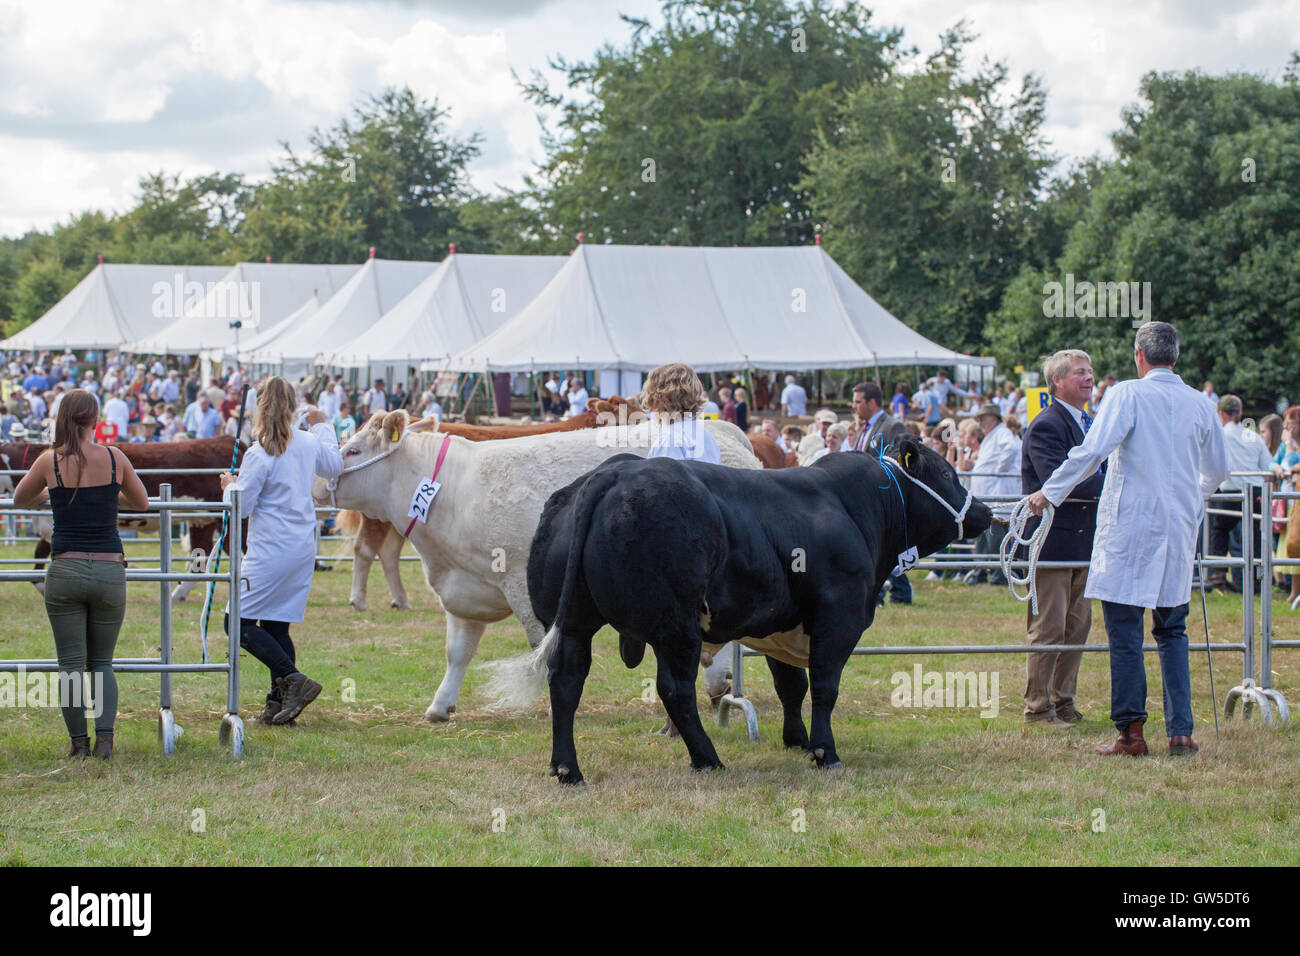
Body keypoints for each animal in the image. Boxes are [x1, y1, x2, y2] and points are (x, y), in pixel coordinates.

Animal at [315, 409, 760, 721]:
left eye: (352, 450)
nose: (318, 482)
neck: (452, 494)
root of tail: (729, 432)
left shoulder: (522, 586)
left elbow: (541, 646)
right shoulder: (463, 590)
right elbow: (457, 652)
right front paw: (440, 706)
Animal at [504, 438, 993, 784]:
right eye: (948, 472)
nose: (986, 512)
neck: (859, 509)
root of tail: (613, 472)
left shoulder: (784, 626)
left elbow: (792, 686)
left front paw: (796, 741)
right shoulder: (838, 618)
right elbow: (825, 687)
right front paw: (825, 752)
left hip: (572, 624)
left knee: (566, 682)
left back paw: (567, 769)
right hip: (676, 626)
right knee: (674, 689)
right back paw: (708, 760)